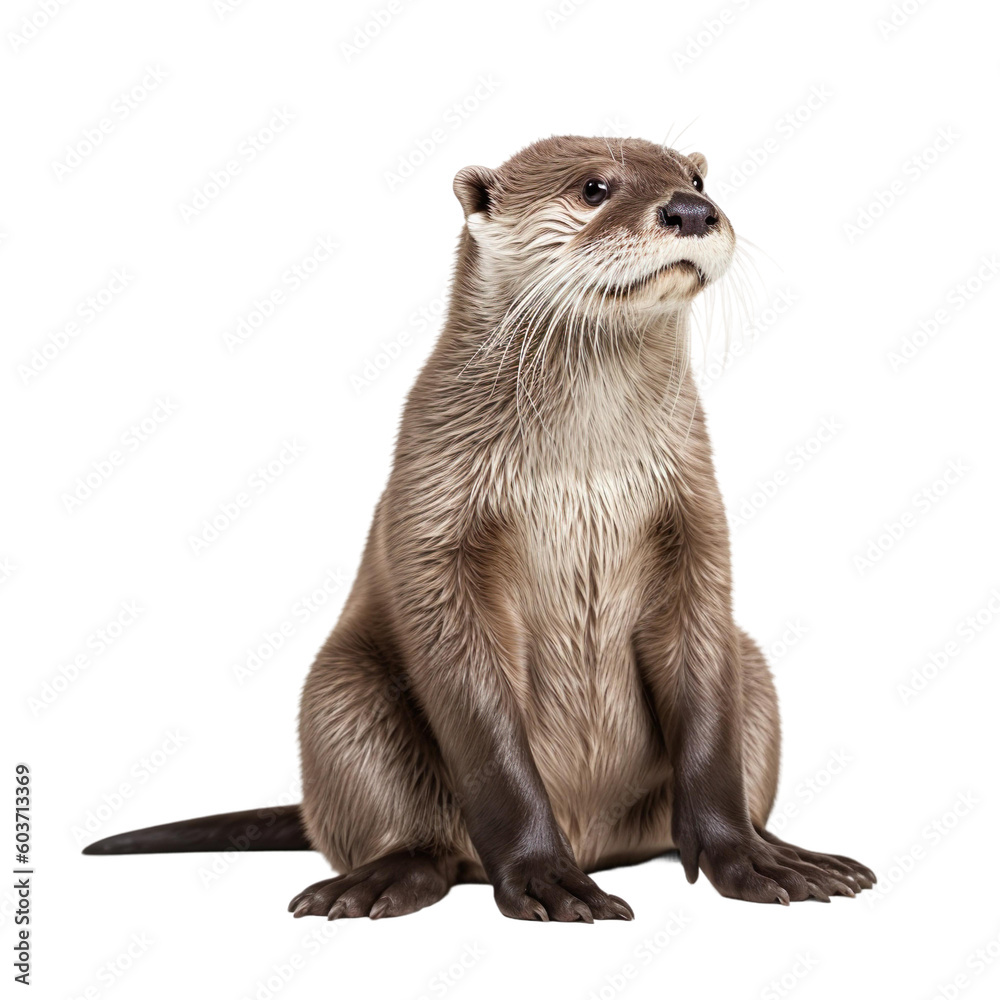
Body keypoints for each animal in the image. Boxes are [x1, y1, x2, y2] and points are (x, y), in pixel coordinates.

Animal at [84, 136, 875, 921]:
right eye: (594, 187)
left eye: (698, 179)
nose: (690, 210)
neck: (583, 472)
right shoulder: (437, 518)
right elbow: (484, 732)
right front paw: (545, 878)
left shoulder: (694, 516)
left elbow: (707, 700)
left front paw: (747, 859)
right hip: (342, 692)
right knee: (402, 820)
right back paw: (381, 878)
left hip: (757, 673)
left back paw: (784, 845)